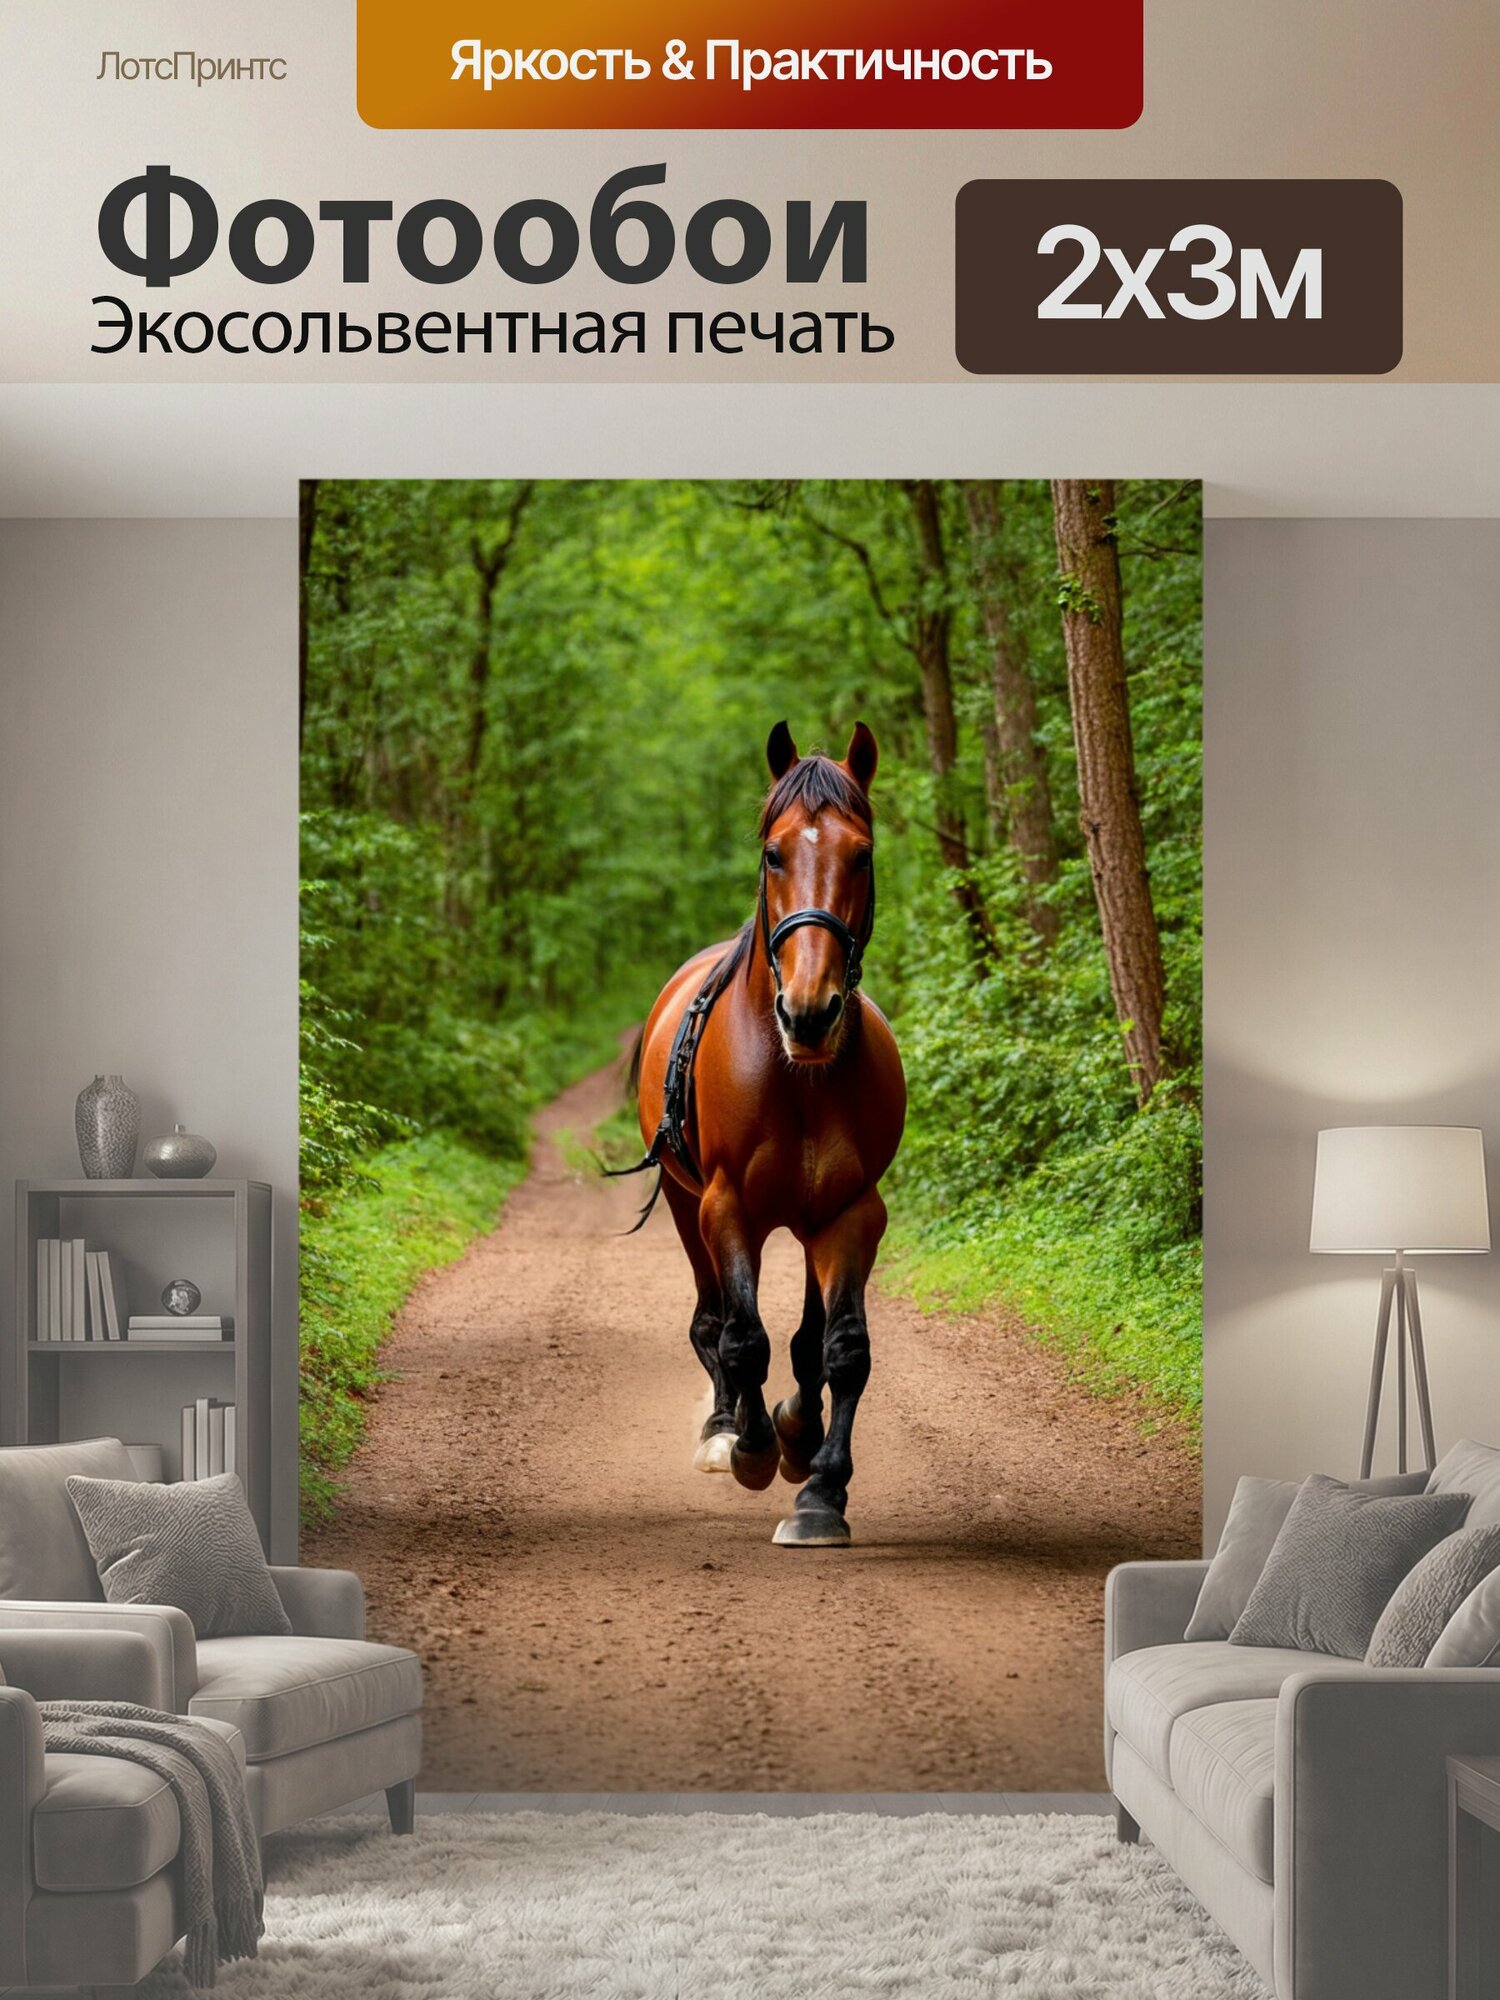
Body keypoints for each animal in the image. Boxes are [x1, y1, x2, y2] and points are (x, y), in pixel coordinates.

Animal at [623, 720, 906, 1548]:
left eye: (862, 854)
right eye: (774, 853)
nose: (810, 1012)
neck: (795, 1075)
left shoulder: (850, 1214)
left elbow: (841, 1348)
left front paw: (821, 1490)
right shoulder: (727, 1208)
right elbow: (741, 1336)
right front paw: (749, 1445)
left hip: (810, 1224)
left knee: (808, 1344)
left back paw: (797, 1432)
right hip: (685, 1207)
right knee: (713, 1322)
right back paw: (727, 1427)